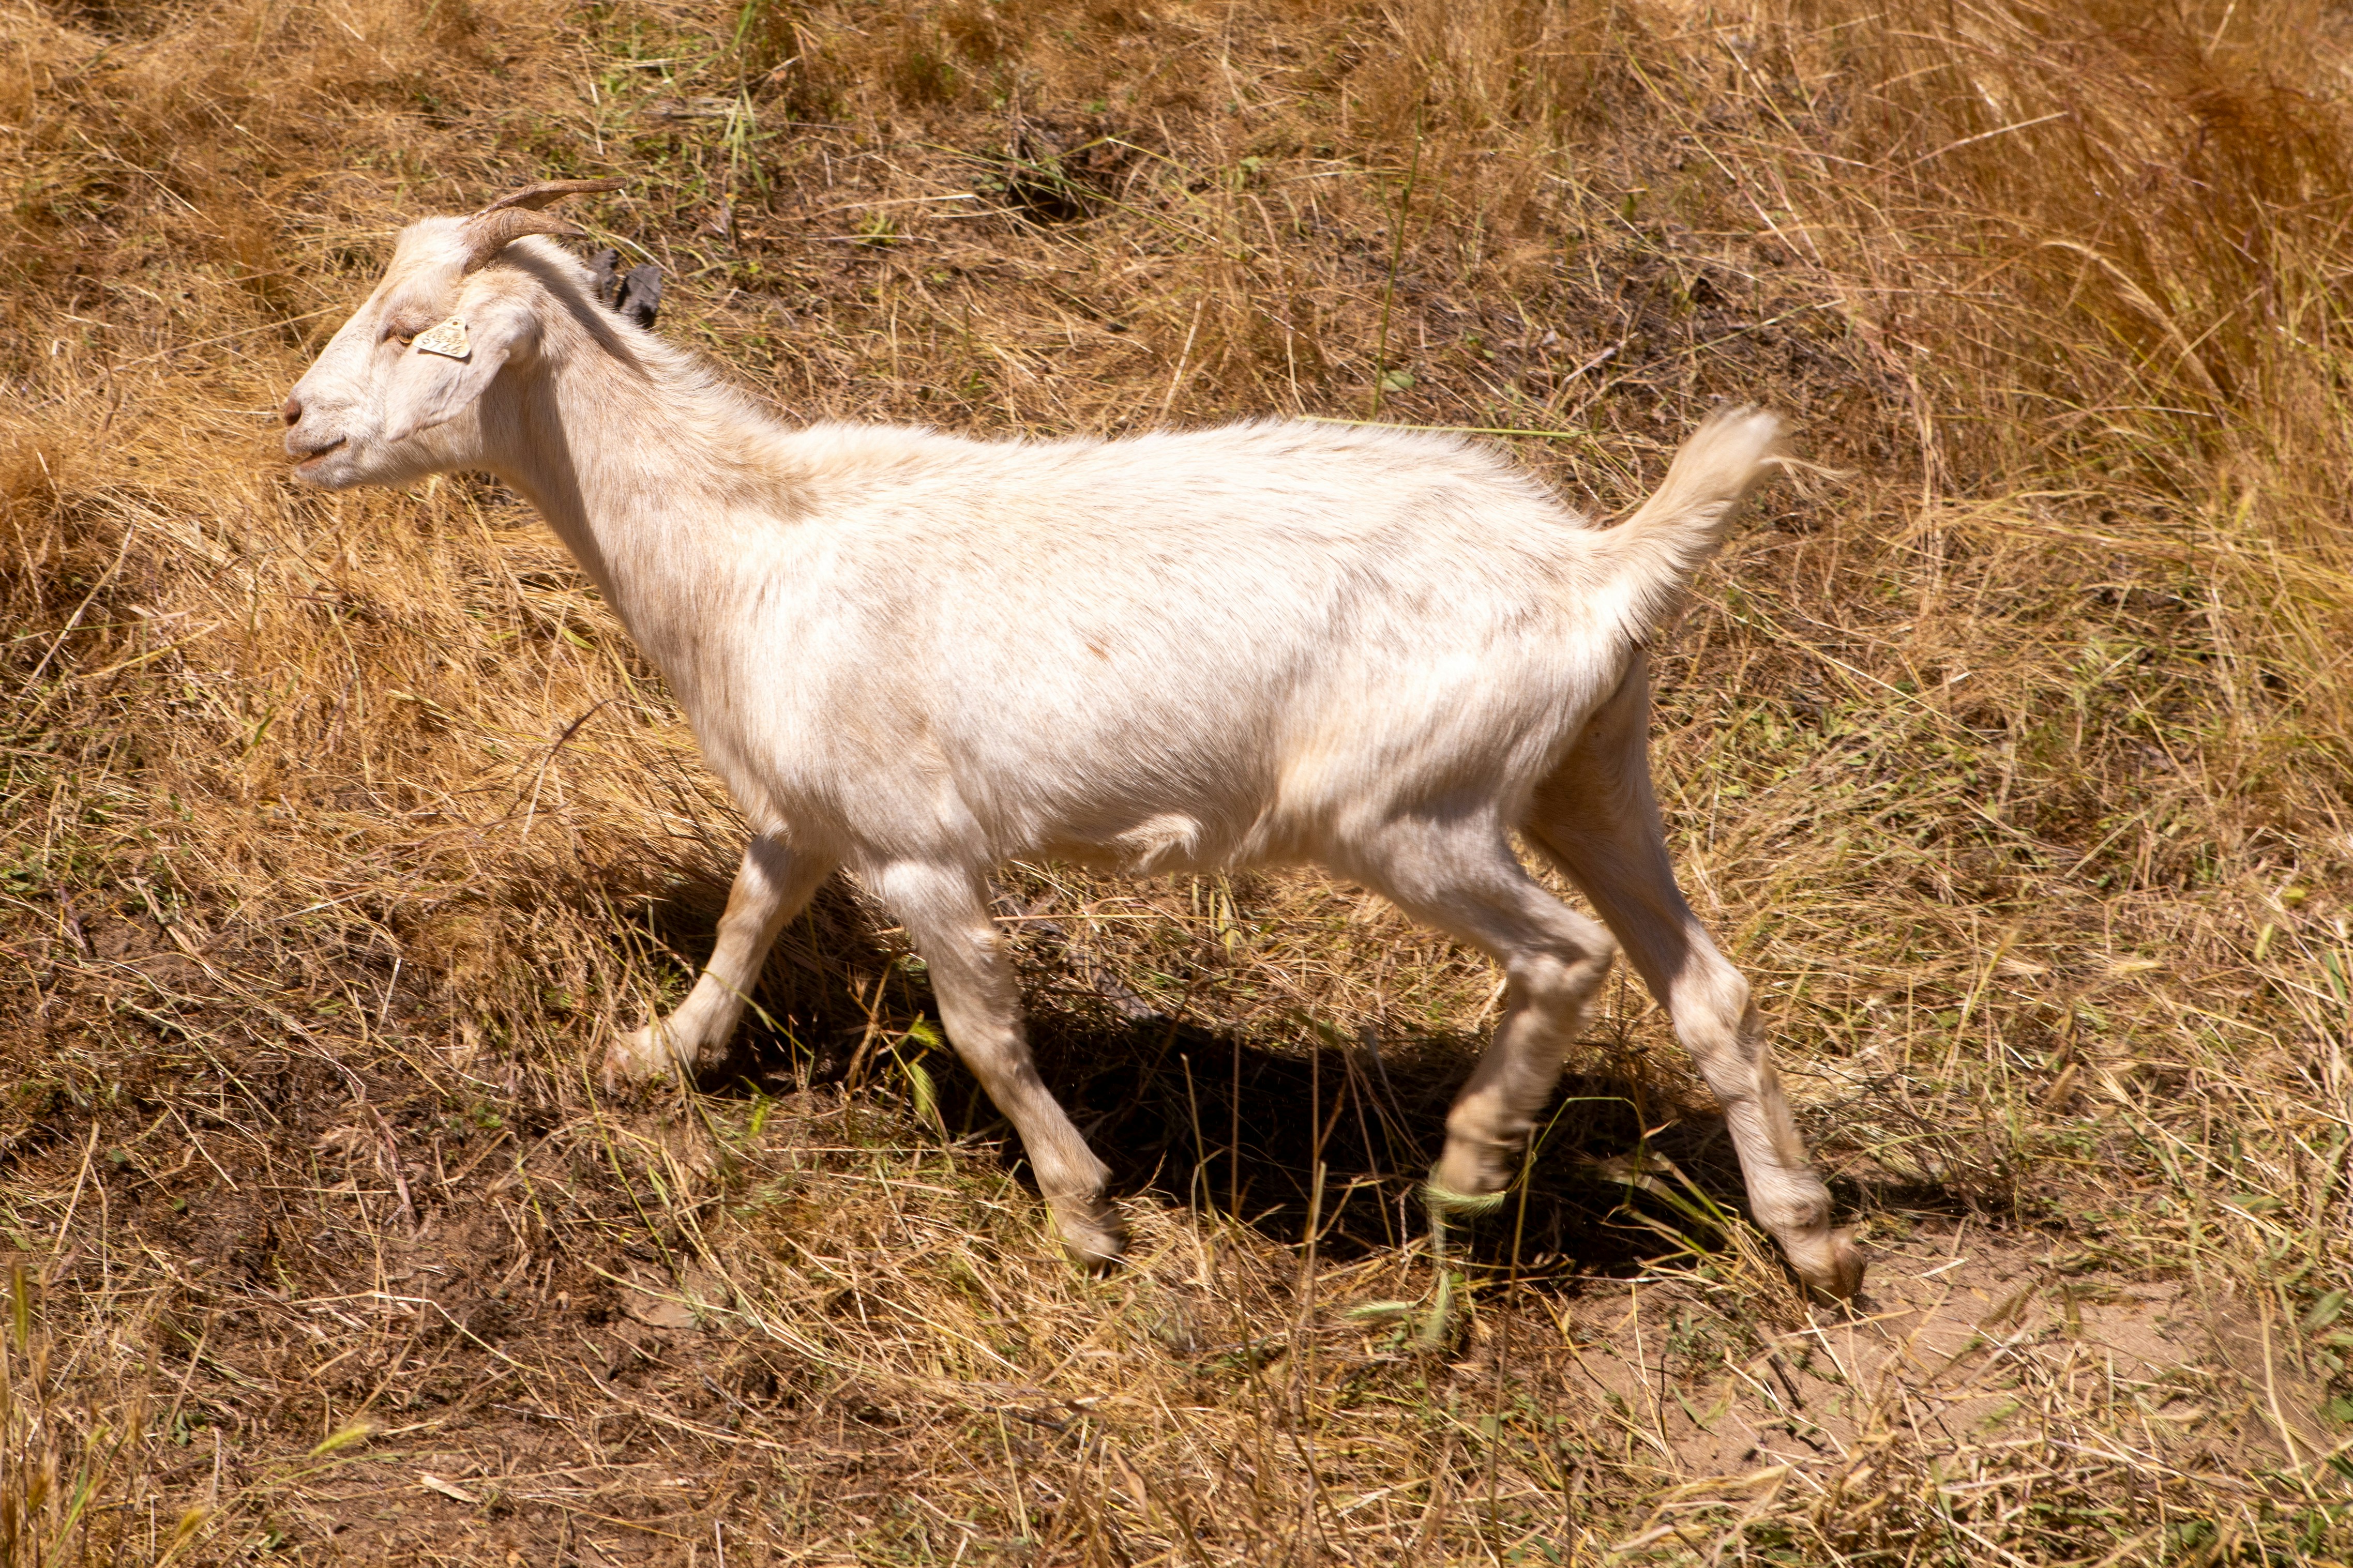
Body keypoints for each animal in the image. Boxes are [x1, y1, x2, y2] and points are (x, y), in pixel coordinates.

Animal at [281, 179, 1864, 1298]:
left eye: (413, 325)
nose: (295, 422)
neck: (756, 539)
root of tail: (1597, 567)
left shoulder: (920, 848)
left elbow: (984, 1025)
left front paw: (1083, 1210)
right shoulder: (810, 808)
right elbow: (744, 914)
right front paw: (660, 1054)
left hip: (1409, 810)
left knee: (1566, 956)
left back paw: (1472, 1163)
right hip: (1591, 774)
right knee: (1707, 985)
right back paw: (1811, 1238)